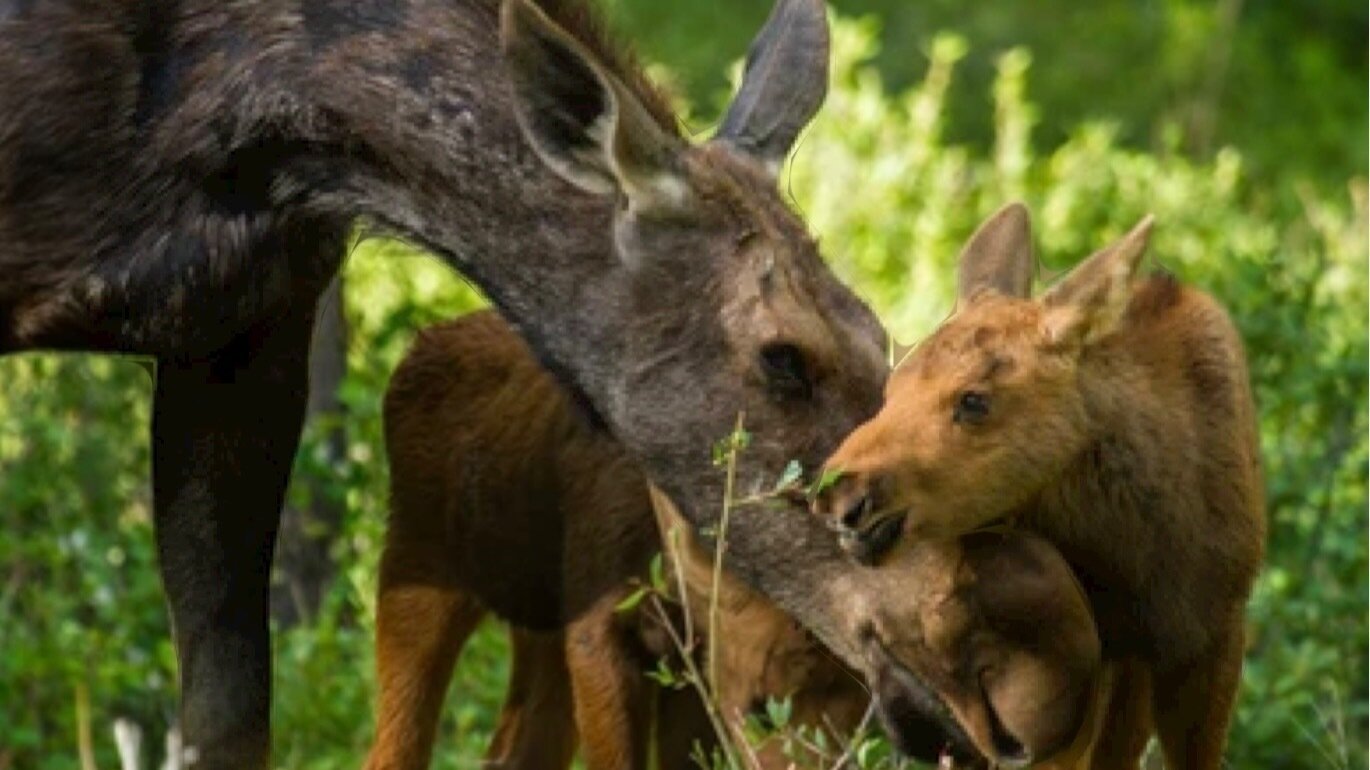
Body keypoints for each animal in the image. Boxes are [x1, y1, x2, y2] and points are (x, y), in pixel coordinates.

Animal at [368, 309, 1107, 770]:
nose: (1013, 739)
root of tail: (414, 351)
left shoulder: (689, 669)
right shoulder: (605, 629)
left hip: (535, 629)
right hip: (418, 569)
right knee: (396, 741)